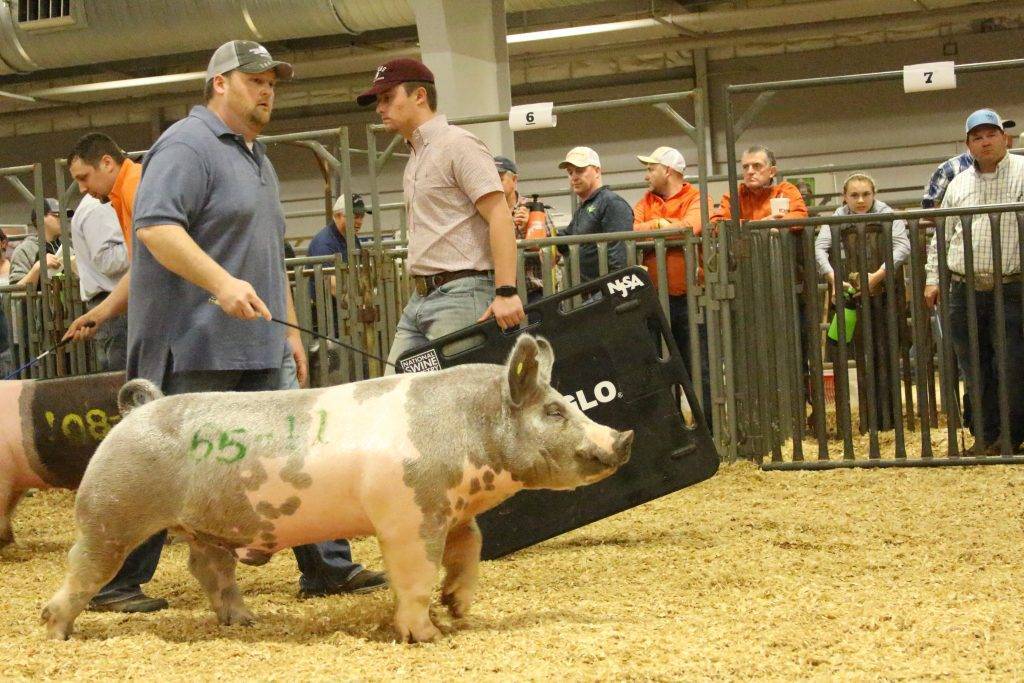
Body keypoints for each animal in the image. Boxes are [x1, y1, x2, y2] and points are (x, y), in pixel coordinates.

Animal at [42, 335, 633, 642]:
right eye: (553, 411)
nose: (623, 439)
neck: (468, 429)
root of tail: (136, 411)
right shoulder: (408, 514)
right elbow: (416, 575)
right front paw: (427, 636)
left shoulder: (455, 511)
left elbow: (470, 551)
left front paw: (459, 609)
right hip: (111, 512)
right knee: (85, 568)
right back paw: (56, 632)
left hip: (204, 527)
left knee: (208, 569)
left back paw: (246, 622)